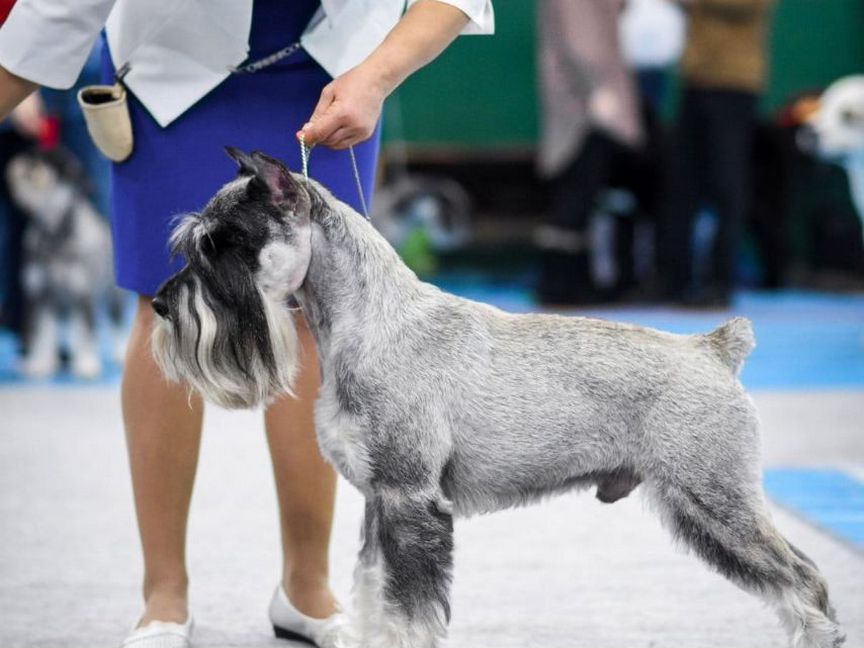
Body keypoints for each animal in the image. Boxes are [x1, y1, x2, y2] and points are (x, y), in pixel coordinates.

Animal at [5, 147, 124, 380]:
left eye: (51, 161)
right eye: (32, 152)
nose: (27, 162)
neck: (54, 234)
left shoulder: (82, 295)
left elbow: (84, 333)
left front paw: (86, 364)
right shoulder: (40, 295)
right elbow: (43, 332)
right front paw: (40, 363)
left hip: (112, 296)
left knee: (116, 324)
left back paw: (119, 352)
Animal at [150, 149, 844, 648]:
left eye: (225, 243)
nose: (158, 304)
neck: (373, 322)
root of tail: (713, 349)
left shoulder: (412, 502)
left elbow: (407, 614)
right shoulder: (382, 502)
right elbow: (372, 593)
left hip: (715, 500)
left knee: (804, 582)